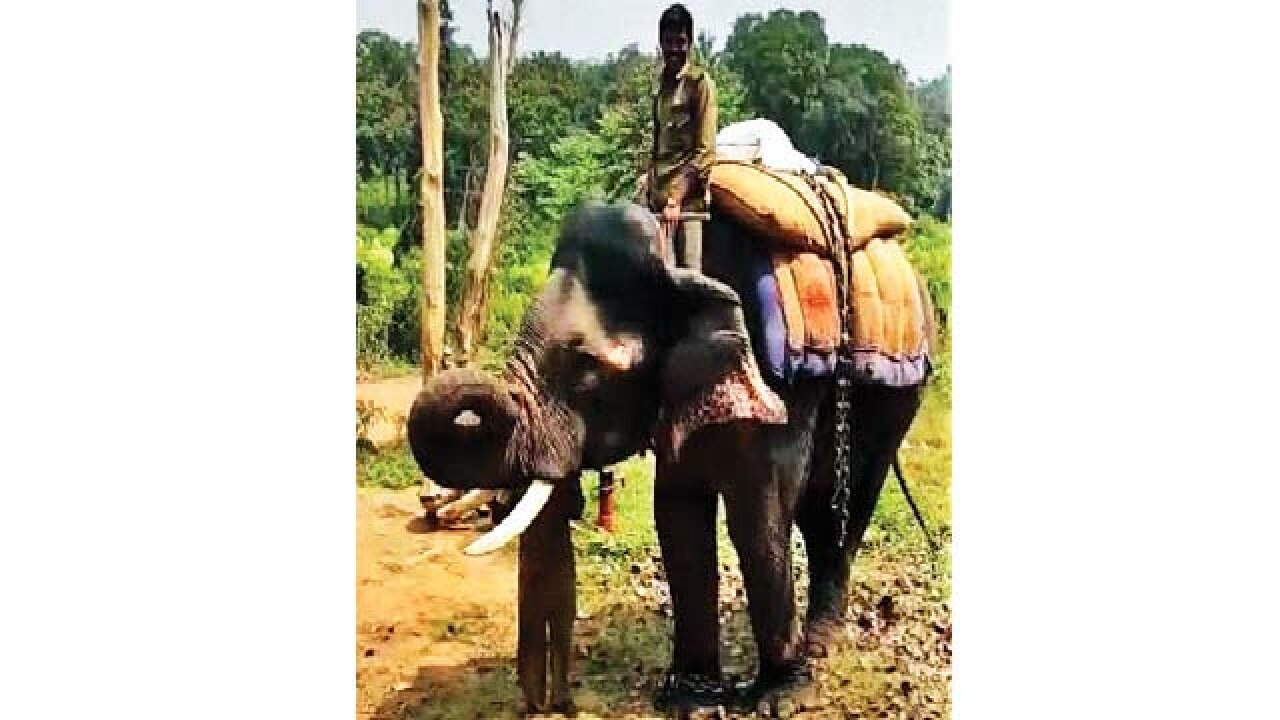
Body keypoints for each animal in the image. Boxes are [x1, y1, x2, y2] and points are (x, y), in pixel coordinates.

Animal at [406, 202, 933, 713]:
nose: (547, 704)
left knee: (844, 503)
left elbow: (758, 516)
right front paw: (691, 700)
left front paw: (778, 699)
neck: (678, 249)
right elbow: (678, 515)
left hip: (896, 397)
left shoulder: (782, 386)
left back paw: (817, 650)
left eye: (586, 366)